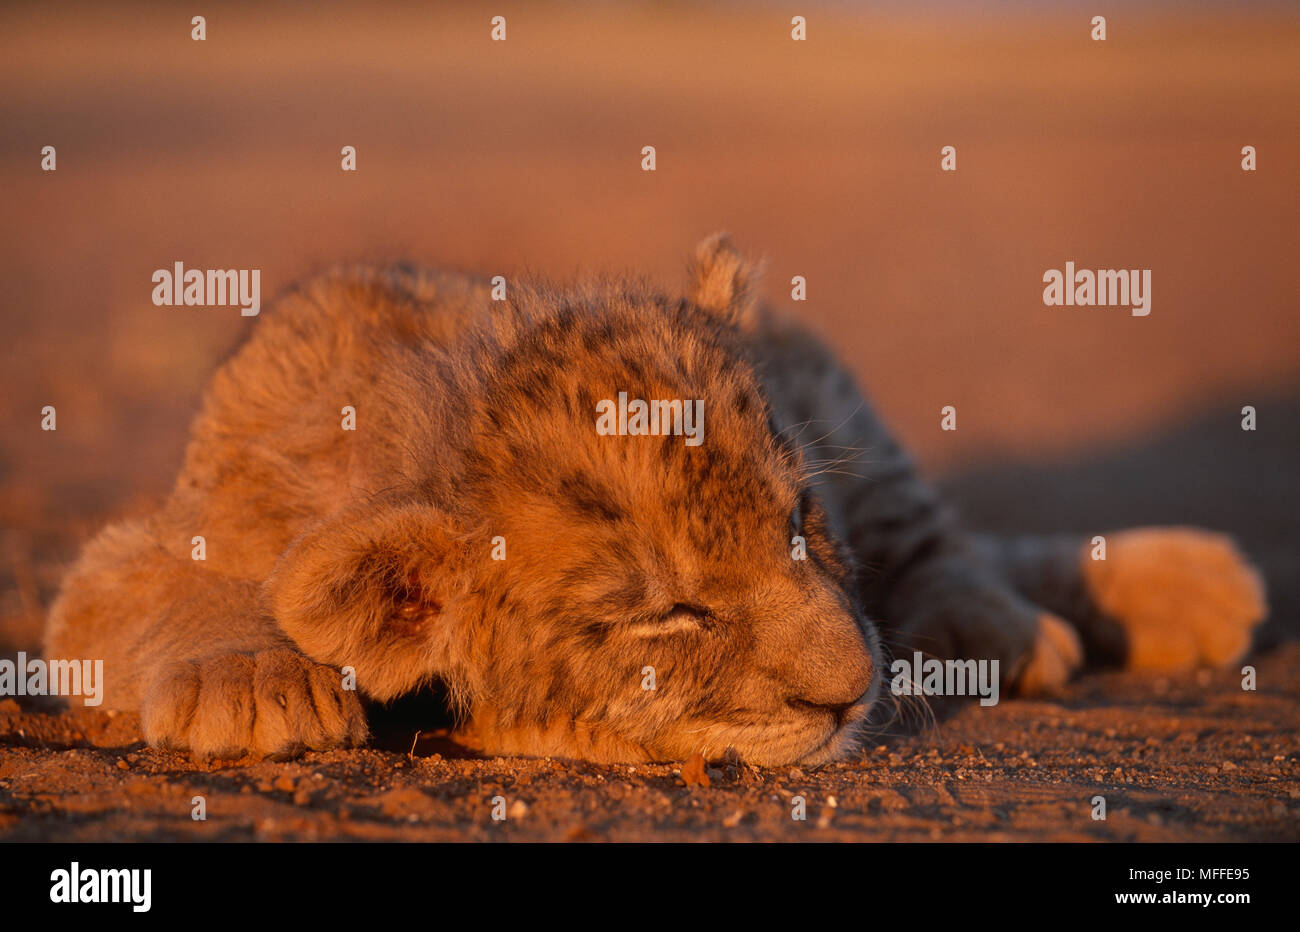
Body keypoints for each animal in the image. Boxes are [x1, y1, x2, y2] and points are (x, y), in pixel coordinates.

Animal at [42, 235, 1267, 765]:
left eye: (798, 527)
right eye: (669, 614)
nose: (853, 693)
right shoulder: (142, 545)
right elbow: (171, 586)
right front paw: (252, 681)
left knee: (948, 542)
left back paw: (1067, 612)